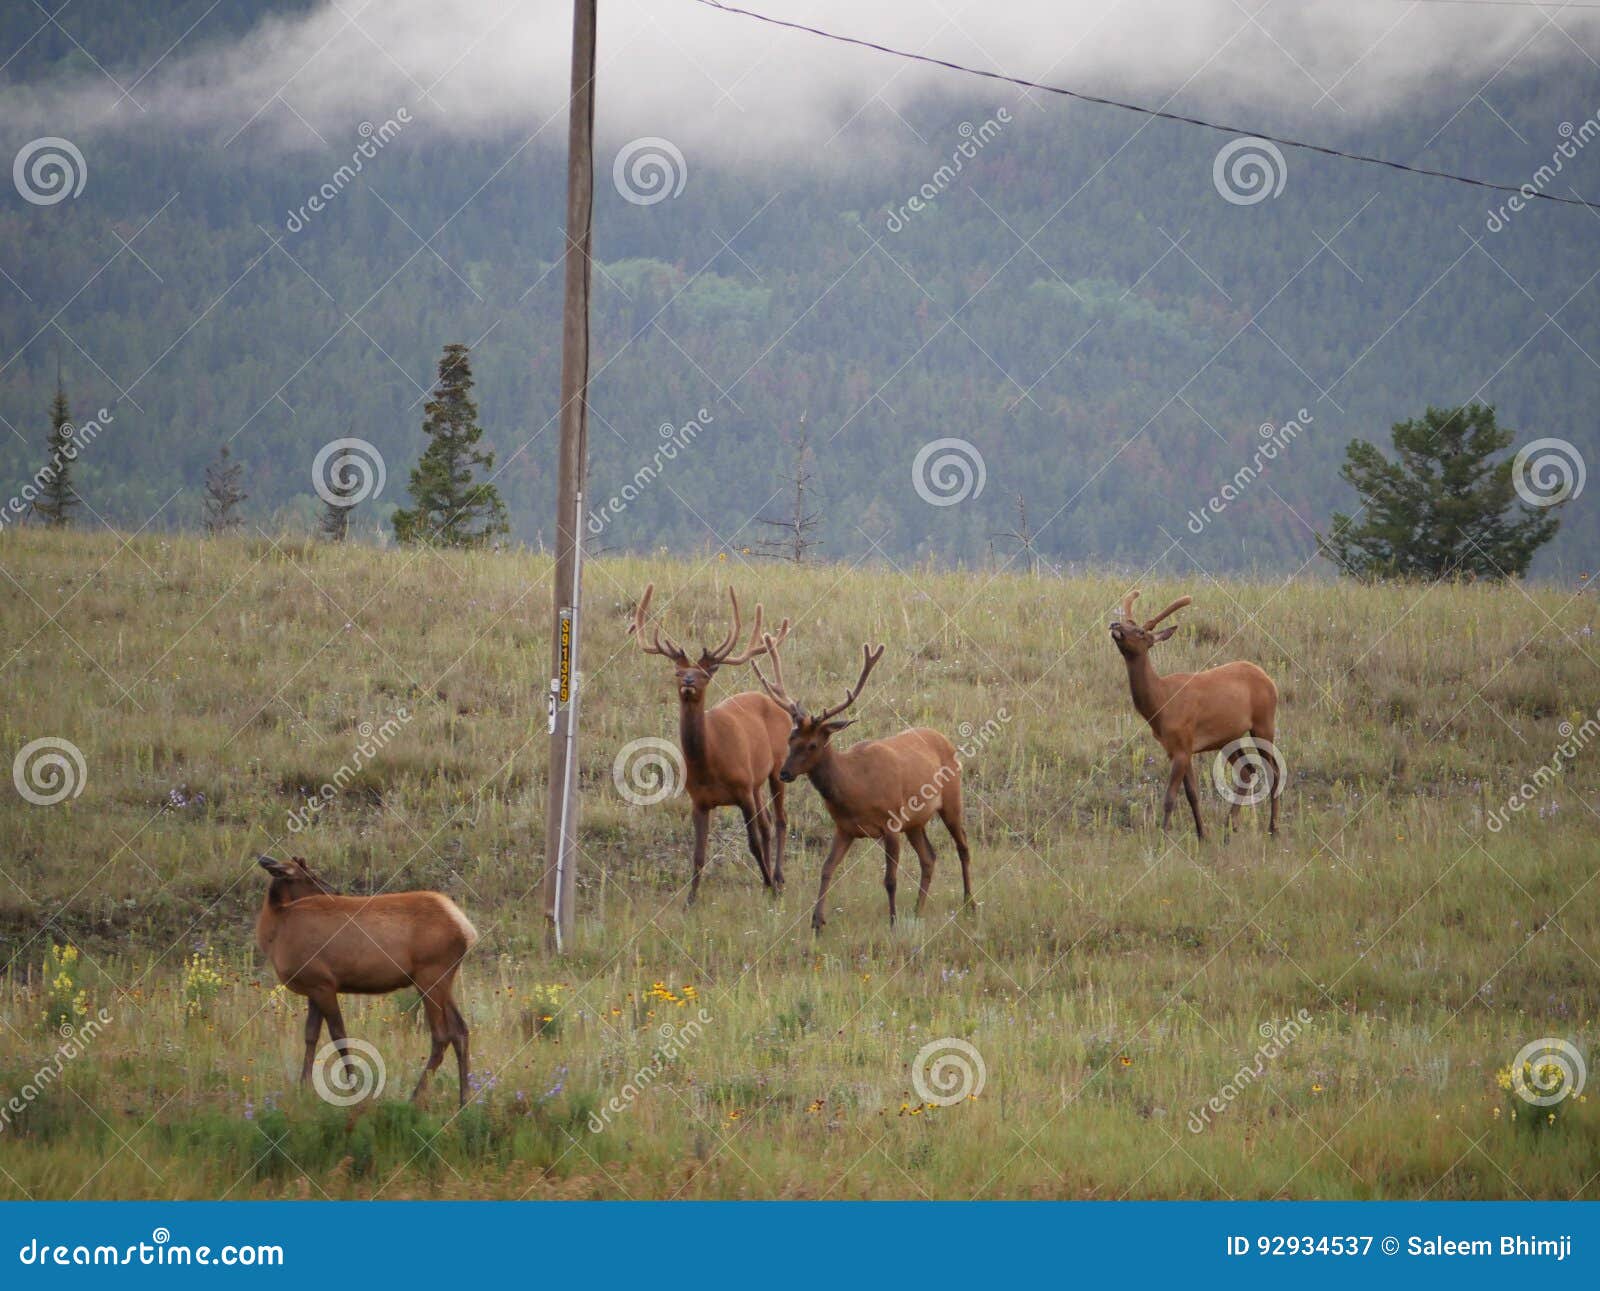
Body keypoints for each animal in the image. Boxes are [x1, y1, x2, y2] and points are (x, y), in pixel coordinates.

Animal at [255, 856, 479, 1105]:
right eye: (310, 877)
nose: (335, 892)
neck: (275, 932)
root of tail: (468, 929)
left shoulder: (323, 983)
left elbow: (339, 1034)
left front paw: (353, 1087)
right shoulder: (314, 986)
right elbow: (311, 1035)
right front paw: (303, 1088)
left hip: (430, 974)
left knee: (441, 1035)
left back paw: (414, 1098)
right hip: (443, 979)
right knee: (460, 1031)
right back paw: (464, 1099)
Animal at [631, 584, 792, 903]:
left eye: (704, 674)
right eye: (678, 672)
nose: (689, 682)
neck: (710, 764)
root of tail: (775, 703)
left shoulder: (742, 788)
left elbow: (753, 842)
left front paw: (768, 882)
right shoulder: (699, 800)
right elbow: (698, 855)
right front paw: (690, 901)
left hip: (777, 766)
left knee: (779, 821)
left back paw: (778, 877)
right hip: (757, 783)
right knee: (768, 822)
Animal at [749, 633, 973, 933]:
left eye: (813, 744)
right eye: (790, 738)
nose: (784, 773)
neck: (855, 788)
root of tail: (945, 740)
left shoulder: (891, 823)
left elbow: (890, 880)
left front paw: (892, 921)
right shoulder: (844, 828)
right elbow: (826, 869)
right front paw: (817, 922)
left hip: (951, 800)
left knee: (963, 847)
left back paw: (969, 904)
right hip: (915, 822)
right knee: (929, 857)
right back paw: (918, 910)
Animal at [1108, 590, 1280, 839]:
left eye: (1141, 632)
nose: (1115, 624)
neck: (1161, 704)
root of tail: (1269, 679)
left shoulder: (1182, 743)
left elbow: (1170, 797)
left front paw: (1163, 836)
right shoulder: (1178, 747)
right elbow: (1192, 794)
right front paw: (1202, 835)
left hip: (1264, 722)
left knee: (1273, 770)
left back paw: (1273, 828)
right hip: (1228, 737)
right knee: (1247, 770)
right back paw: (1230, 825)